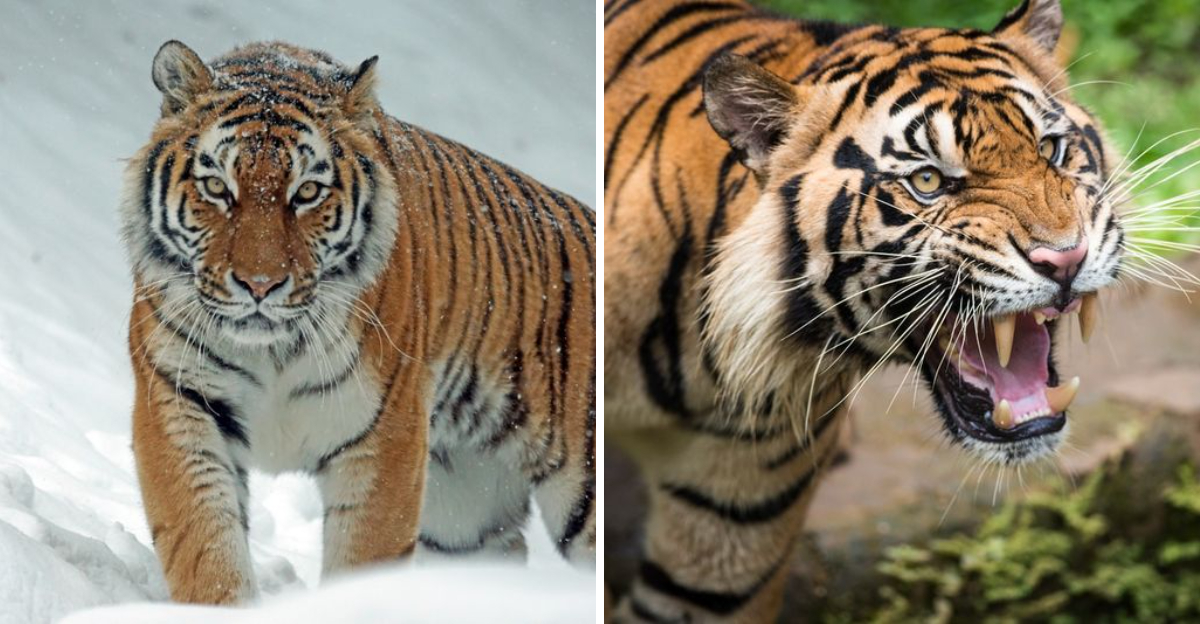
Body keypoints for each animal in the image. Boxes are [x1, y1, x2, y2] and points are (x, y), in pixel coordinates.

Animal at [121, 40, 596, 604]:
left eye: (307, 193)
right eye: (217, 186)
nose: (259, 285)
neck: (272, 350)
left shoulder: (384, 436)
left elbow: (364, 558)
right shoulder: (179, 401)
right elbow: (204, 545)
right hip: (464, 514)